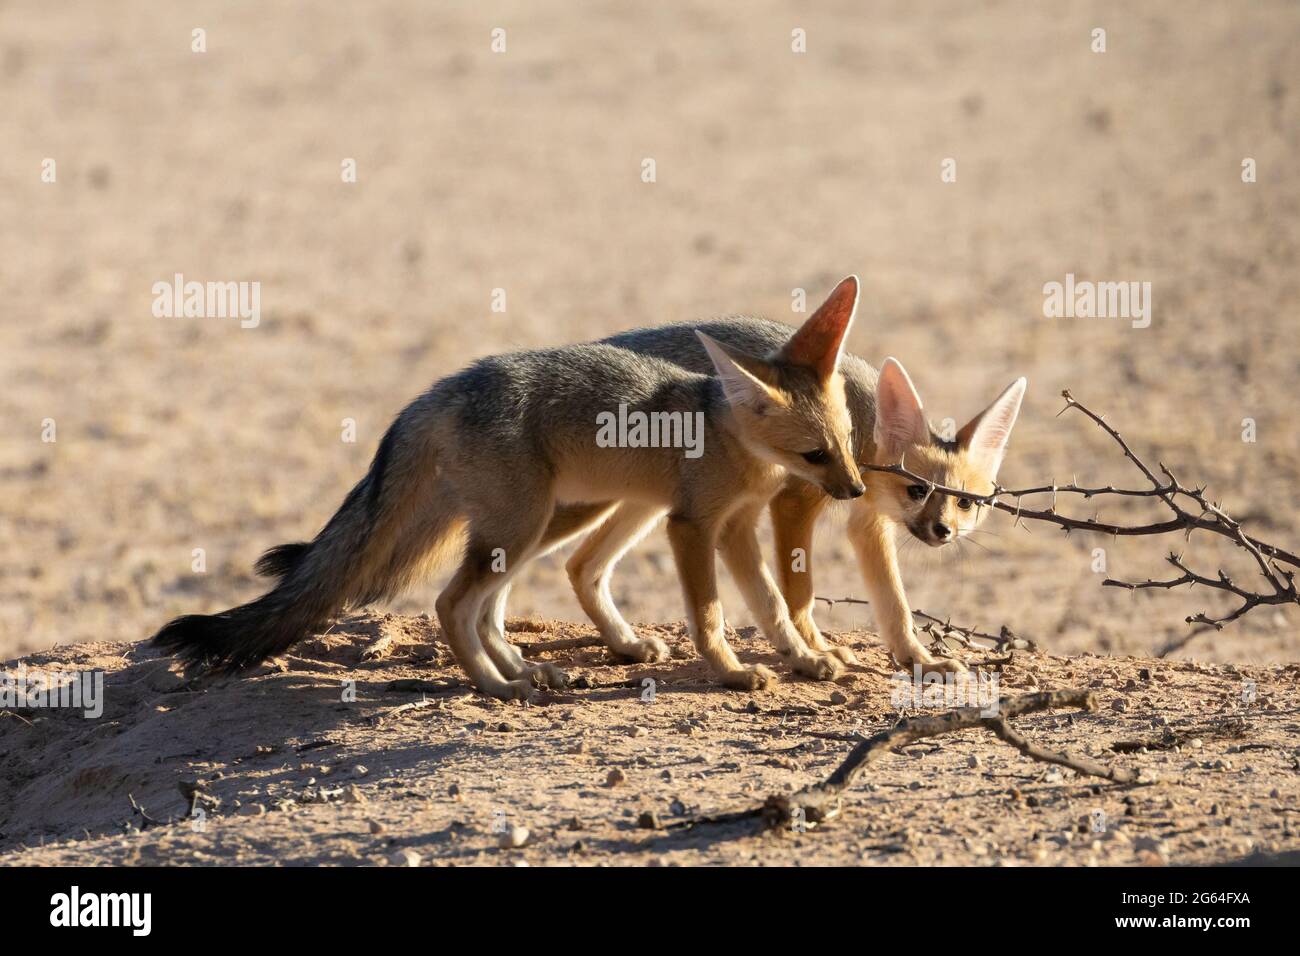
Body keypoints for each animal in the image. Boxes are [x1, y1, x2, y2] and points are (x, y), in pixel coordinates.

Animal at [153, 278, 867, 699]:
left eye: (848, 442)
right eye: (816, 454)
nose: (857, 490)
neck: (727, 437)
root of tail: (439, 390)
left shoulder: (738, 526)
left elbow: (772, 605)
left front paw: (805, 660)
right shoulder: (691, 526)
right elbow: (713, 615)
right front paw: (731, 672)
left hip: (541, 525)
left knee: (492, 605)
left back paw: (524, 668)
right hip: (529, 524)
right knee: (452, 604)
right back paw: (497, 687)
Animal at [560, 310, 1028, 675]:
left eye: (965, 504)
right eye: (918, 490)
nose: (943, 531)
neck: (863, 428)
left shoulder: (867, 523)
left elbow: (895, 606)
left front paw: (920, 660)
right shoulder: (794, 502)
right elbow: (798, 595)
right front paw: (815, 650)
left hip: (652, 504)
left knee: (581, 566)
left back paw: (625, 644)